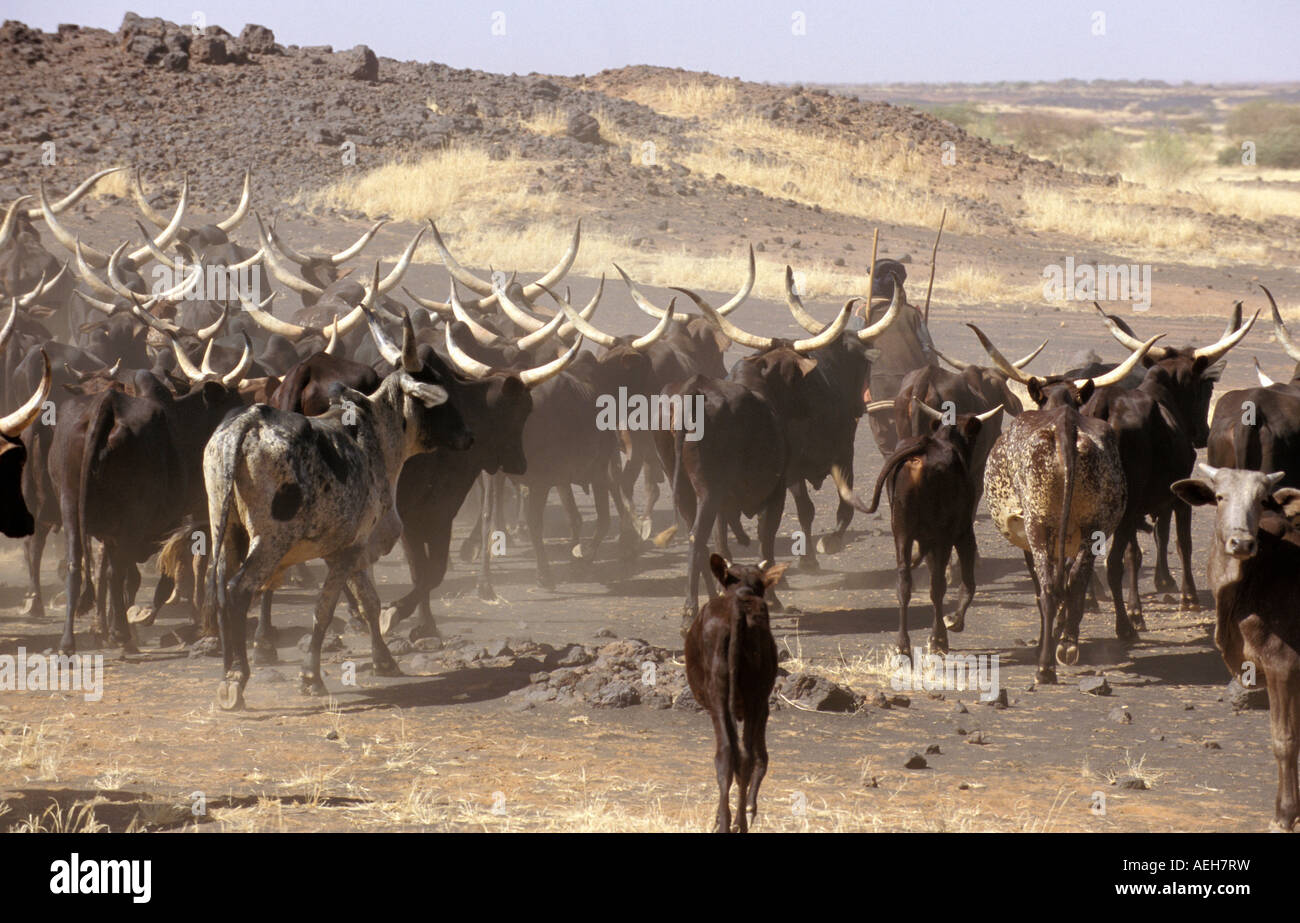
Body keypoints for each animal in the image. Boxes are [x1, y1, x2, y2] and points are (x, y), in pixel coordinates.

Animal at [200, 319, 472, 709]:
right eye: (441, 393)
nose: (469, 435)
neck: (376, 437)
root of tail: (248, 421)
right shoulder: (347, 551)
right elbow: (325, 610)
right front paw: (311, 677)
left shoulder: (350, 547)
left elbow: (369, 602)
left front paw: (384, 658)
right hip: (269, 542)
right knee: (238, 591)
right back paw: (237, 676)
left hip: (225, 529)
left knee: (221, 589)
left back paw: (227, 670)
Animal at [684, 554, 787, 833]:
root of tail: (738, 608)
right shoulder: (762, 704)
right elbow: (759, 756)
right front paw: (749, 809)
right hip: (754, 698)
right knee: (747, 756)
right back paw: (740, 820)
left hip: (719, 696)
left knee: (728, 754)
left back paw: (726, 821)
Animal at [866, 400, 1003, 655]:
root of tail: (923, 449)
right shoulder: (962, 532)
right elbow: (968, 583)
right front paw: (954, 621)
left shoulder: (924, 539)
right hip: (943, 537)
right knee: (937, 587)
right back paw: (938, 639)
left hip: (902, 531)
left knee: (904, 584)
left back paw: (903, 645)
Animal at [1172, 465, 1300, 830]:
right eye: (1219, 497)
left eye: (1261, 499)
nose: (1242, 542)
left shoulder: (1283, 665)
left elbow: (1284, 740)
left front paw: (1284, 815)